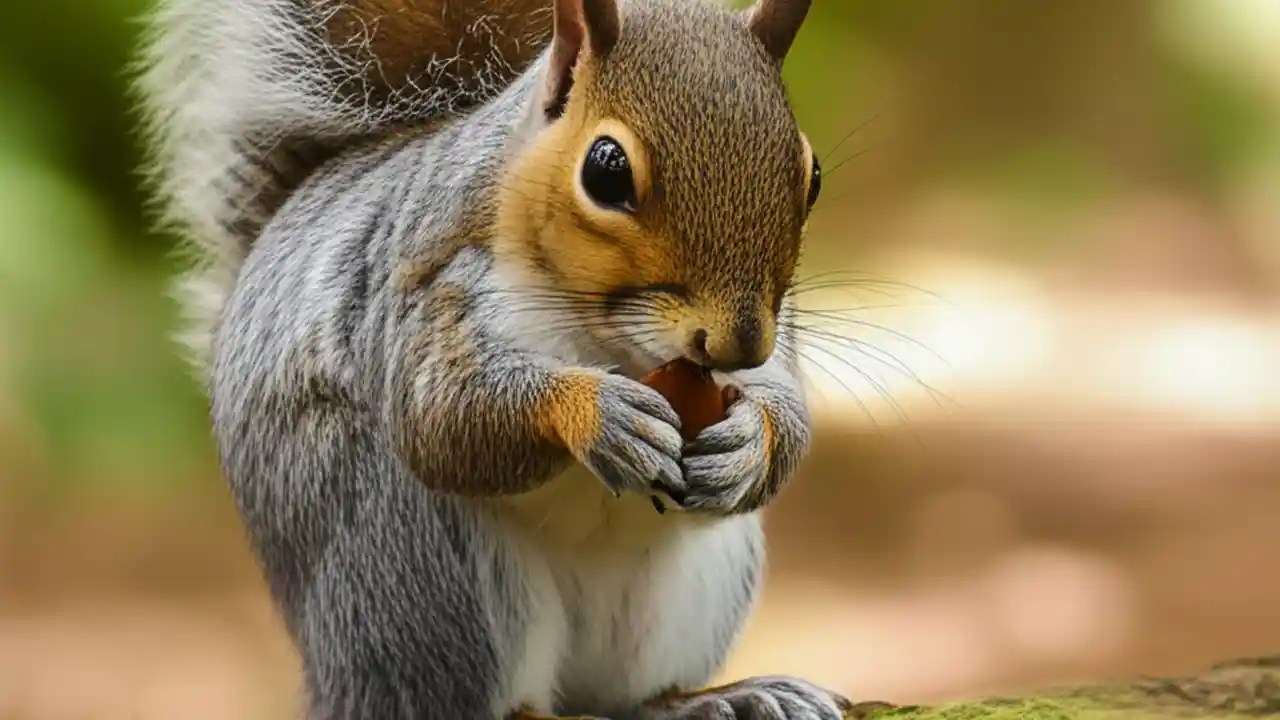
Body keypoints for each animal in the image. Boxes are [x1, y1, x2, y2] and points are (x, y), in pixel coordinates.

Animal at [137, 0, 851, 718]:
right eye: (606, 170)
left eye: (813, 175)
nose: (738, 342)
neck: (608, 337)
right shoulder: (428, 290)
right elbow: (440, 417)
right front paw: (596, 413)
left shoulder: (776, 335)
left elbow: (786, 410)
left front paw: (748, 446)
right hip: (422, 574)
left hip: (699, 586)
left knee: (632, 694)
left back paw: (714, 698)